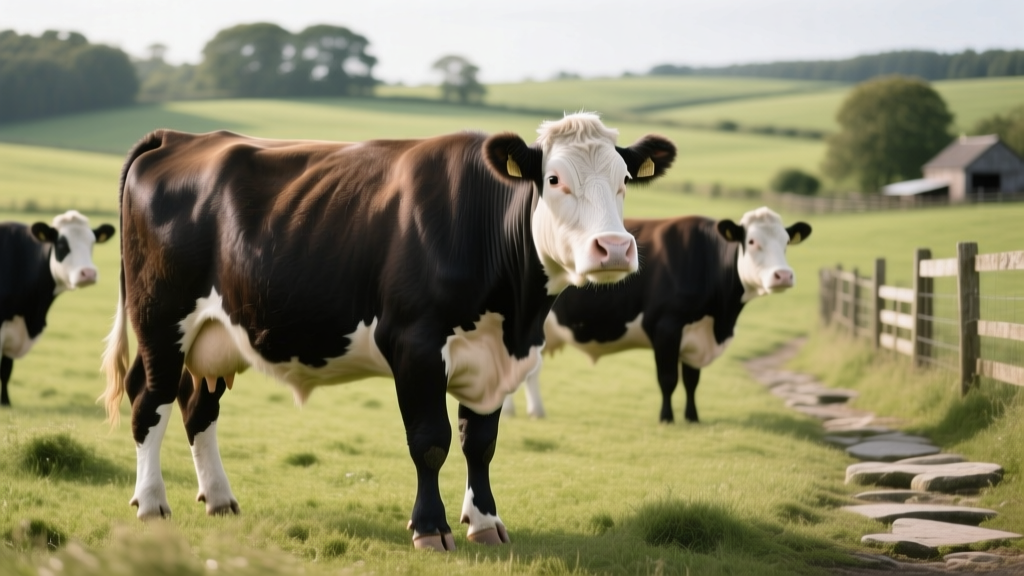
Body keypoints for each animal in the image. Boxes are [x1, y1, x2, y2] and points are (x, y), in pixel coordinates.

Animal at [100, 114, 676, 550]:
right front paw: (430, 529)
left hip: (215, 336)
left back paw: (220, 499)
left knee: (199, 408)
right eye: (554, 180)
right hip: (160, 319)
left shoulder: (494, 358)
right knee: (149, 401)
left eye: (625, 180)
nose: (614, 247)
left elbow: (481, 444)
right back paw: (152, 503)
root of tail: (179, 137)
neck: (516, 313)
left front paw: (485, 522)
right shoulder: (416, 346)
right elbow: (430, 442)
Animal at [502, 207, 811, 424]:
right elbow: (668, 379)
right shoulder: (666, 327)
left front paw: (692, 418)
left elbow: (692, 381)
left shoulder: (694, 335)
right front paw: (667, 419)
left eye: (786, 242)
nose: (783, 275)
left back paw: (534, 411)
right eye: (752, 241)